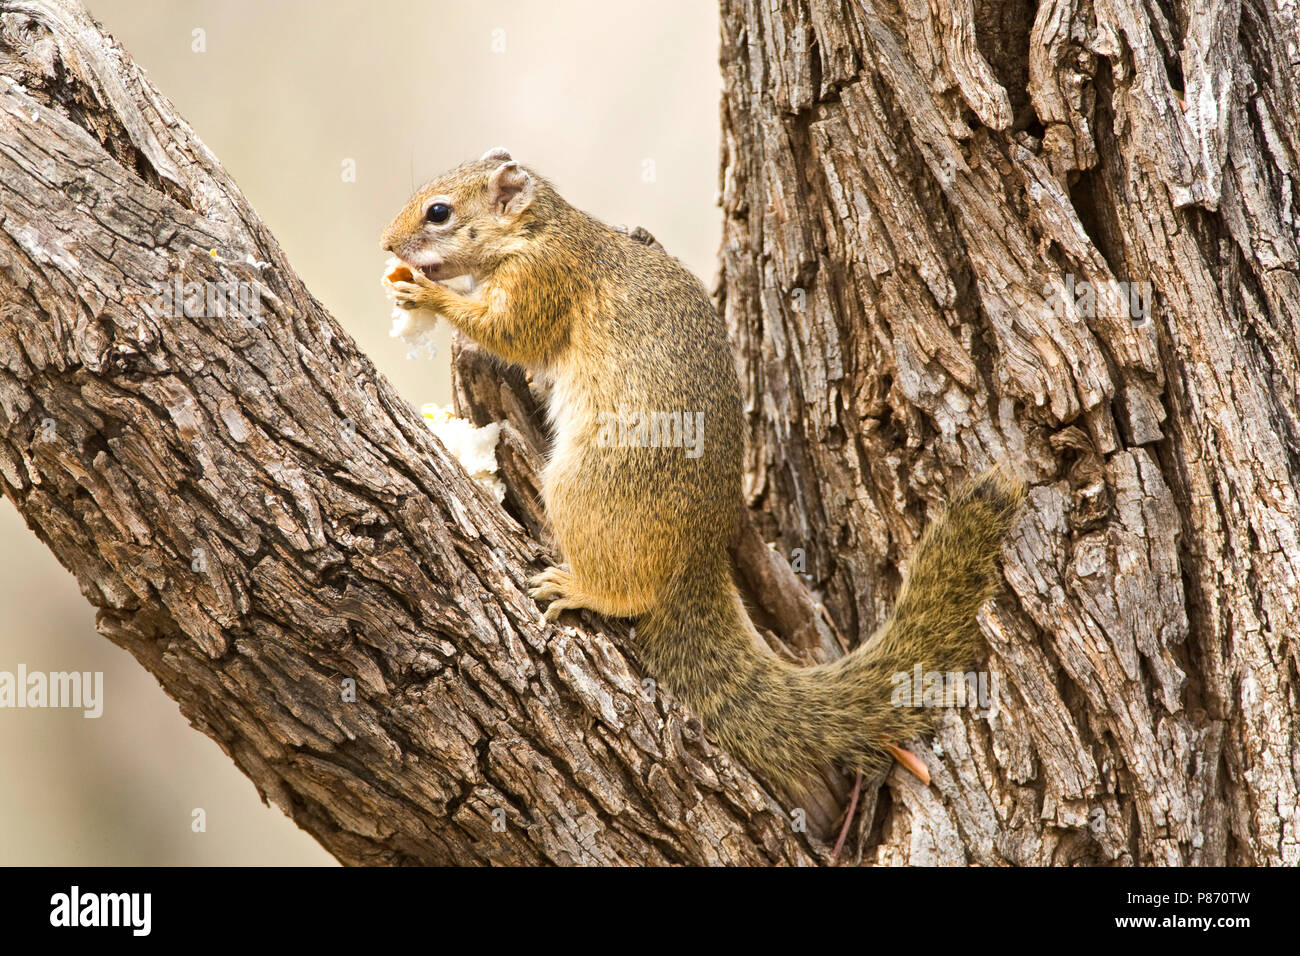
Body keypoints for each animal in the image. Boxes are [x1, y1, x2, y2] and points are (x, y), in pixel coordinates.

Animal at [380, 147, 1024, 789]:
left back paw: (581, 587)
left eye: (439, 212)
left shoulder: (543, 281)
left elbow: (507, 334)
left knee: (631, 594)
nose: (388, 244)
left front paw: (426, 297)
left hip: (585, 486)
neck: (540, 230)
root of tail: (698, 557)